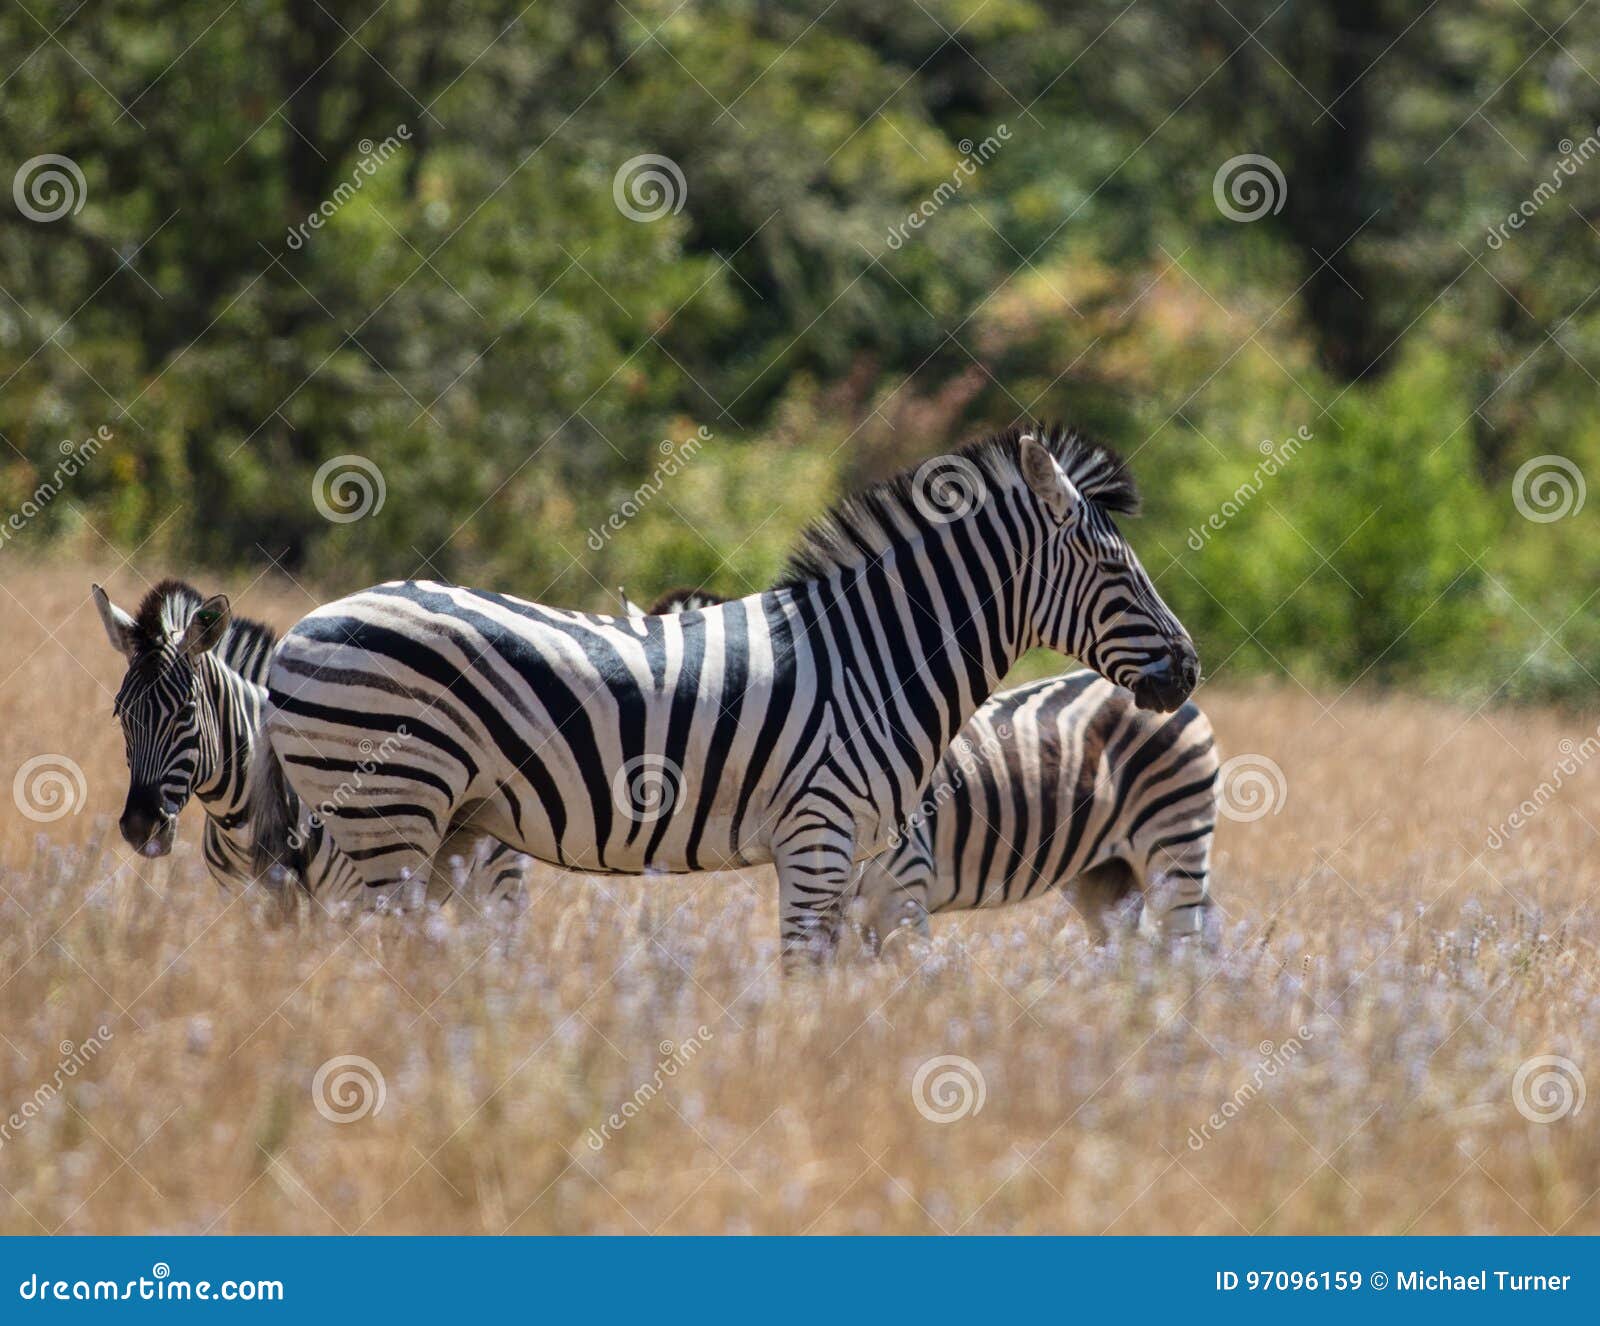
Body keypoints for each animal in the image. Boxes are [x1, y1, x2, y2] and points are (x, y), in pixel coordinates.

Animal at [93, 579, 524, 905]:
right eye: (120, 713)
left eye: (186, 711)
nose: (140, 828)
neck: (241, 820)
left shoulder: (344, 898)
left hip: (494, 887)